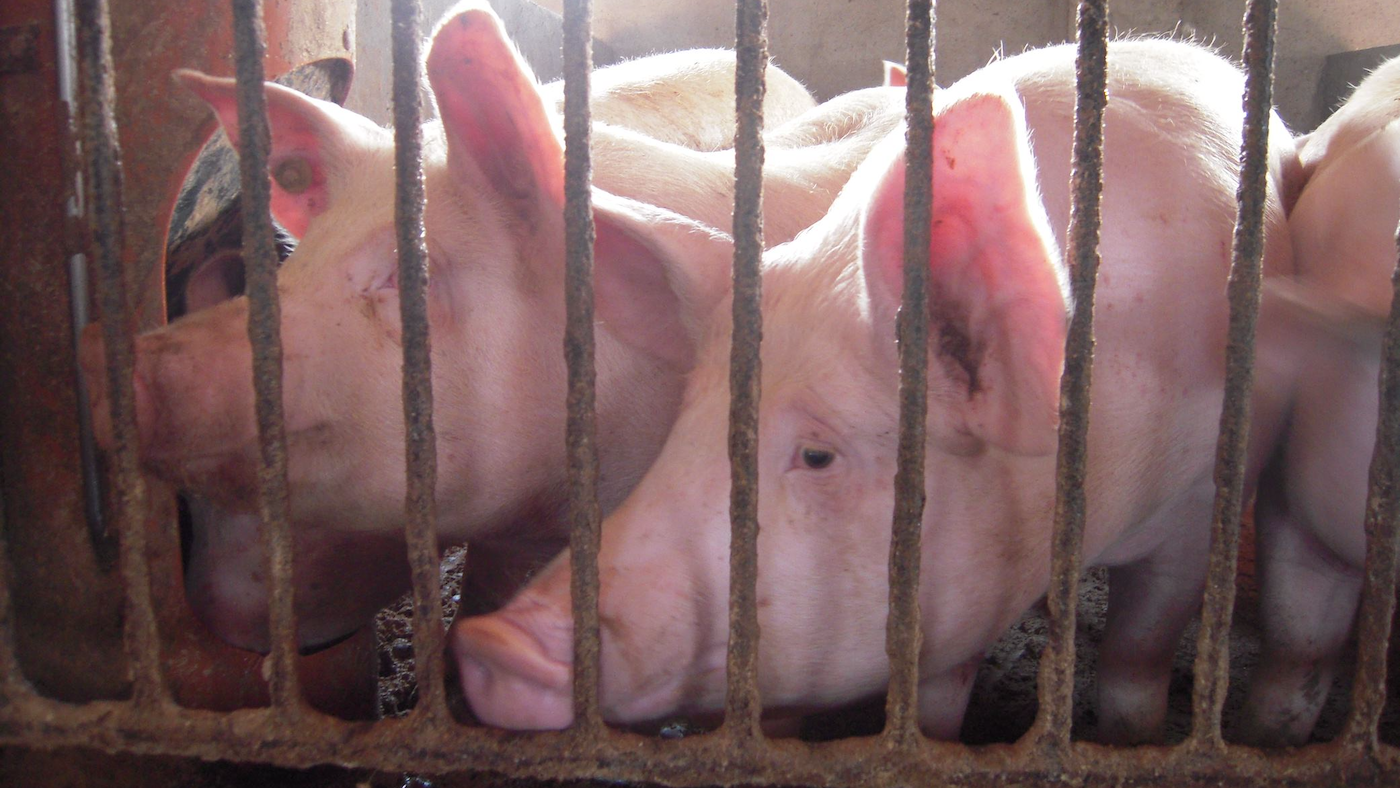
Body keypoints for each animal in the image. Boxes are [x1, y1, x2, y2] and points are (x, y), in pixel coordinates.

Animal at [451, 39, 1301, 744]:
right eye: (682, 425)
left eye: (819, 456)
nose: (493, 644)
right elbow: (935, 699)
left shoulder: (1201, 497)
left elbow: (1139, 656)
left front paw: (1131, 736)